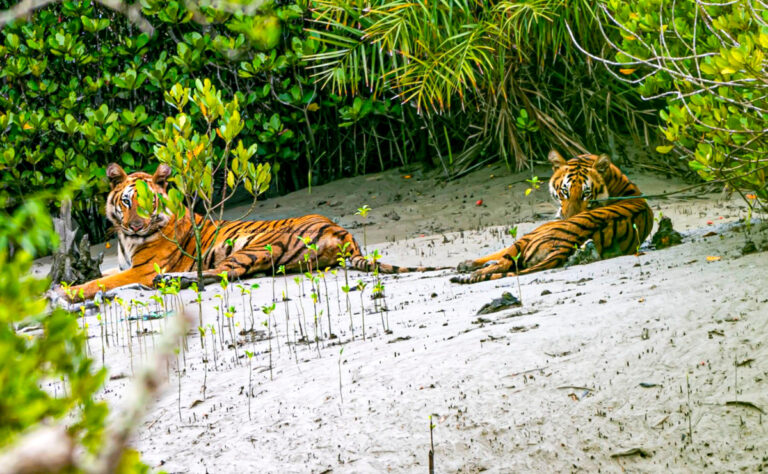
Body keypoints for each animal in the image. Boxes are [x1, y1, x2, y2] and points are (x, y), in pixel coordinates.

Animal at [59, 163, 444, 302]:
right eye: (126, 202)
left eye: (148, 202)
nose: (135, 225)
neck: (127, 240)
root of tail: (342, 230)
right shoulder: (128, 265)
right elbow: (106, 276)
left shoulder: (141, 268)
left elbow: (101, 281)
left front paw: (68, 293)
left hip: (256, 246)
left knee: (219, 273)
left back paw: (169, 281)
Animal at [451, 150, 653, 284]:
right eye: (565, 191)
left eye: (586, 194)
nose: (568, 216)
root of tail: (563, 246)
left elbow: (499, 252)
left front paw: (467, 264)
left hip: (527, 239)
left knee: (504, 262)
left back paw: (473, 274)